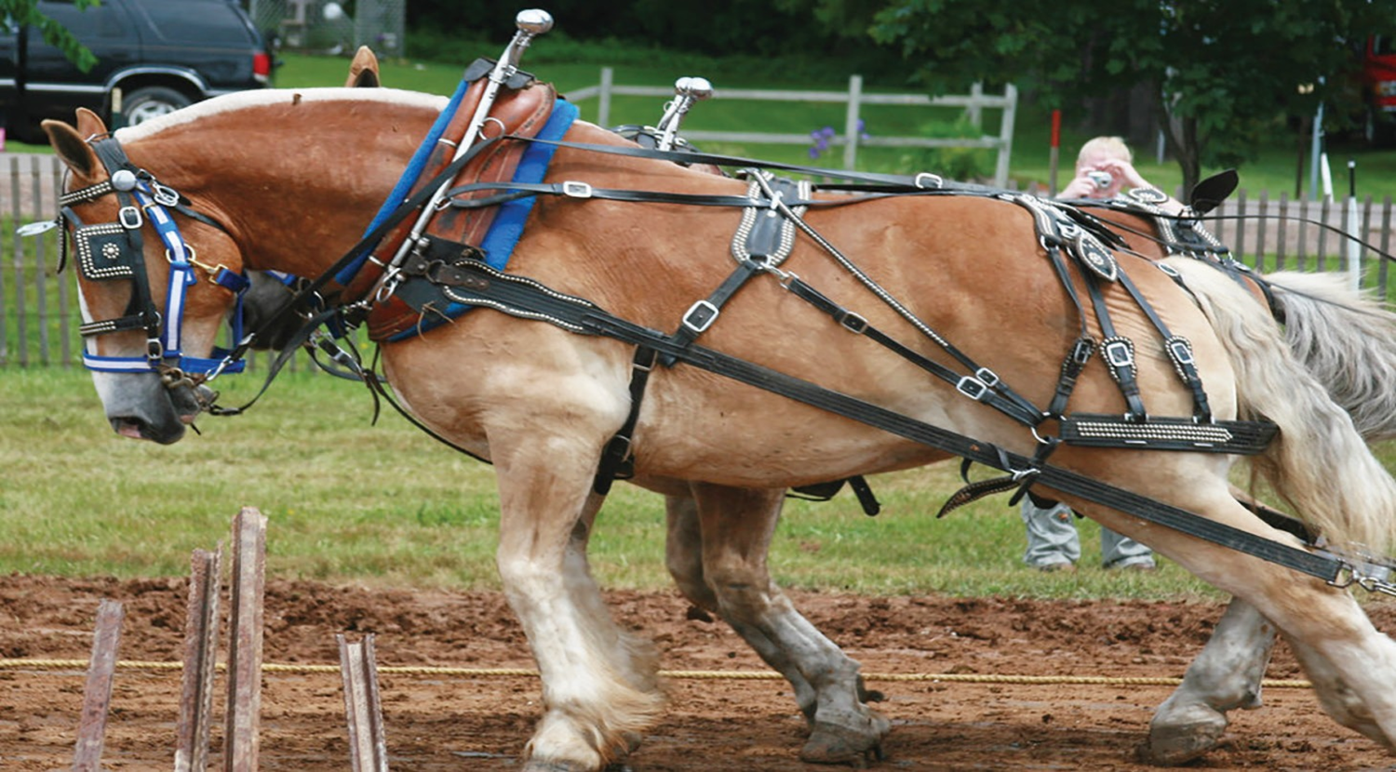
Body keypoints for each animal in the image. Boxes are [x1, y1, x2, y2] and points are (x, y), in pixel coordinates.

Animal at [41, 79, 1396, 771]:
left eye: (106, 254)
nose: (132, 409)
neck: (466, 216)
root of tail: (1145, 255)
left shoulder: (549, 428)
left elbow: (529, 569)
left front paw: (574, 721)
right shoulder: (663, 453)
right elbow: (679, 578)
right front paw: (748, 701)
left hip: (1125, 466)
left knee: (1305, 580)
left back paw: (1327, 696)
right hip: (1144, 465)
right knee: (1290, 565)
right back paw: (1220, 700)